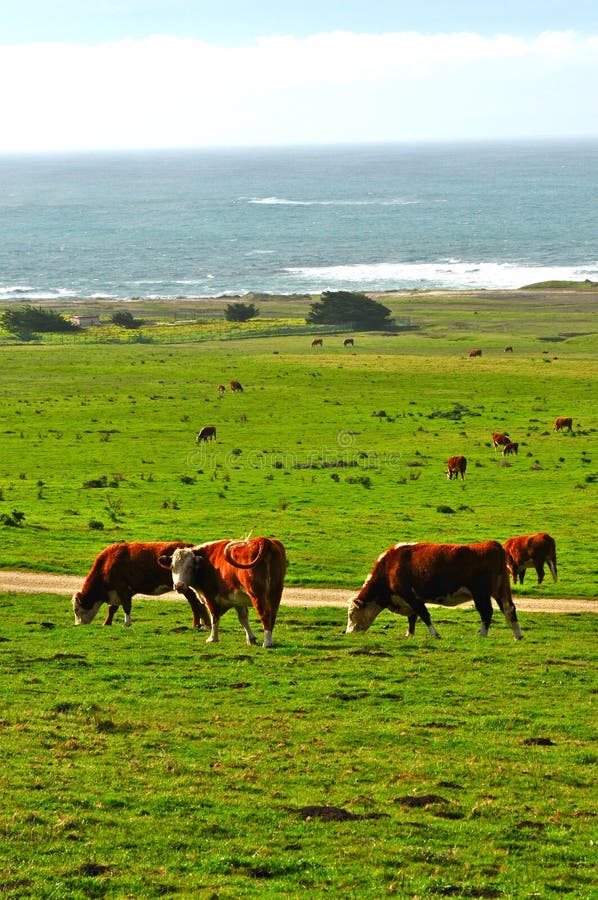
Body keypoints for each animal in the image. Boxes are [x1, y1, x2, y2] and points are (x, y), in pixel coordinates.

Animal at [72, 541, 210, 628]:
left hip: (186, 588)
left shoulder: (122, 588)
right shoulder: (121, 591)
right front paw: (107, 623)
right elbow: (112, 608)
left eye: (76, 609)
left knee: (196, 604)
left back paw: (197, 624)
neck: (107, 563)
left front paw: (127, 623)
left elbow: (126, 606)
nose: (77, 624)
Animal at [158, 537, 286, 648]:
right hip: (276, 593)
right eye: (172, 567)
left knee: (265, 614)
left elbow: (214, 617)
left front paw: (212, 638)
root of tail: (262, 540)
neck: (206, 562)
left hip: (257, 595)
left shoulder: (210, 596)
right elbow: (243, 618)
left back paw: (267, 642)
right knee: (272, 615)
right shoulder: (237, 598)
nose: (179, 585)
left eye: (190, 567)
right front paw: (251, 639)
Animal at [346, 541, 522, 641]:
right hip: (500, 590)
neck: (390, 565)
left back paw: (482, 635)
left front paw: (435, 634)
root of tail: (492, 544)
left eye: (352, 614)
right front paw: (409, 635)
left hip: (481, 593)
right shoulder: (411, 600)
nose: (348, 633)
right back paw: (518, 635)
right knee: (509, 609)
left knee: (486, 611)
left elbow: (424, 615)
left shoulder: (409, 595)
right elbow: (412, 617)